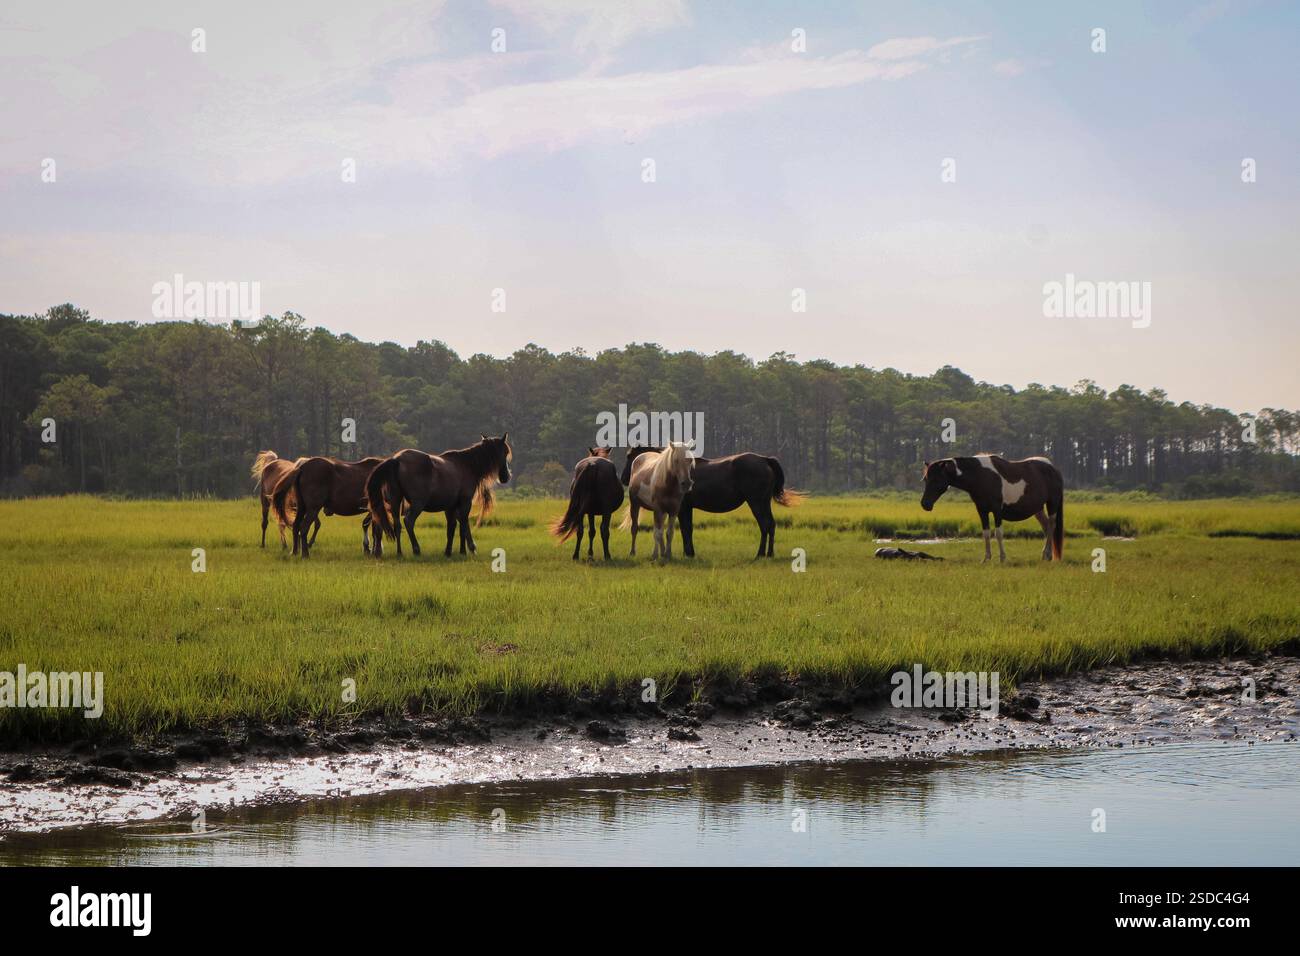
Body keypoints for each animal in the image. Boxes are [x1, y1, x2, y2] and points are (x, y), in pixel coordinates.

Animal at [366, 434, 511, 558]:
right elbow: (463, 526)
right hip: (418, 503)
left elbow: (451, 528)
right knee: (408, 521)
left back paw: (399, 553)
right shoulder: (465, 503)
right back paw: (416, 549)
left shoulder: (450, 507)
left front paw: (449, 551)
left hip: (396, 501)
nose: (506, 476)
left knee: (397, 525)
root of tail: (396, 459)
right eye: (505, 452)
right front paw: (467, 550)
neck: (467, 465)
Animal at [622, 448, 804, 558]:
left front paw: (688, 552)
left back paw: (760, 553)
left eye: (629, 456)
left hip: (757, 502)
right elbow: (688, 529)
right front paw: (690, 553)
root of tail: (765, 459)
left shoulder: (682, 508)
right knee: (770, 525)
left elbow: (686, 529)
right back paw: (769, 553)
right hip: (764, 503)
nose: (624, 479)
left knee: (765, 525)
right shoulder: (686, 509)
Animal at [920, 454, 1064, 562]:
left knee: (1051, 526)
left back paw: (1045, 554)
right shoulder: (982, 510)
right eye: (925, 479)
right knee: (1046, 527)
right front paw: (986, 558)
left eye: (936, 479)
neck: (980, 475)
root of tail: (1054, 469)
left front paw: (1002, 558)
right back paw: (1047, 555)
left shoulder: (997, 510)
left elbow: (998, 533)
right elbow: (986, 533)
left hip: (1052, 503)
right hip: (1038, 509)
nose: (925, 504)